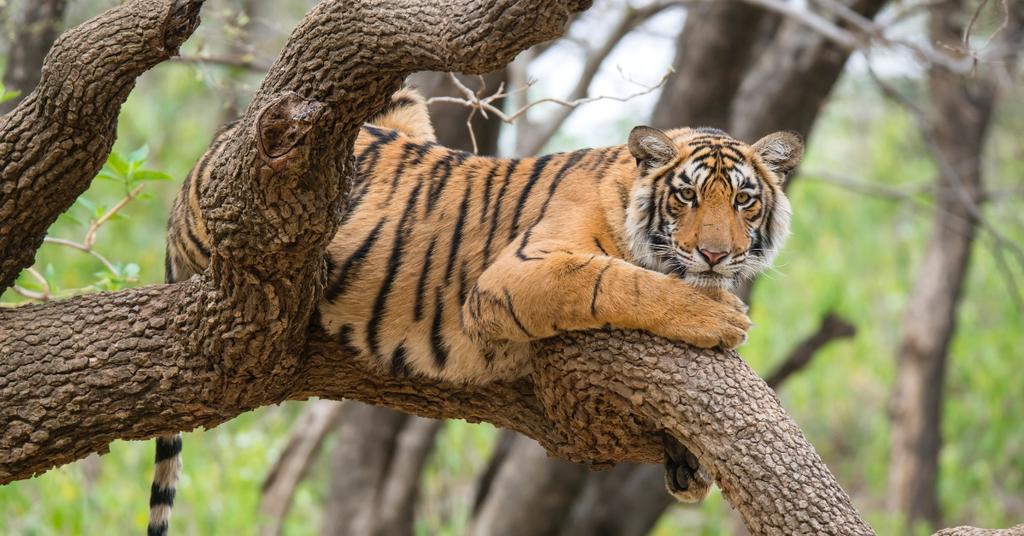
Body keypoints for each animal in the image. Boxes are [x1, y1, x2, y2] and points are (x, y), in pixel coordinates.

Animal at [152, 87, 802, 534]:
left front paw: (687, 462)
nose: (716, 255)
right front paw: (719, 318)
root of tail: (202, 159)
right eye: (687, 196)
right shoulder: (516, 274)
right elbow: (618, 281)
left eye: (743, 200)